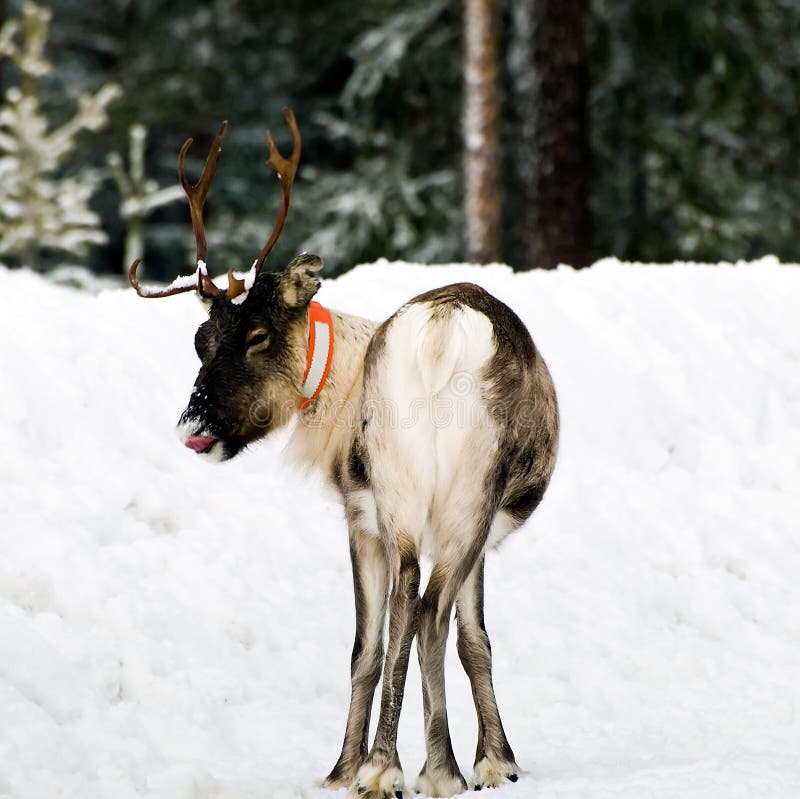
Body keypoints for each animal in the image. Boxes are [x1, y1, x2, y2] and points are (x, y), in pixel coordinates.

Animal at [129, 109, 559, 799]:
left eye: (256, 335)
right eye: (201, 340)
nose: (193, 426)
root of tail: (438, 338)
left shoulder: (363, 514)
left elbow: (382, 646)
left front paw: (345, 770)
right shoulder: (387, 519)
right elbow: (454, 640)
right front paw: (485, 762)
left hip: (422, 494)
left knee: (412, 609)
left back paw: (399, 766)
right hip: (461, 494)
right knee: (426, 610)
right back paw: (425, 768)